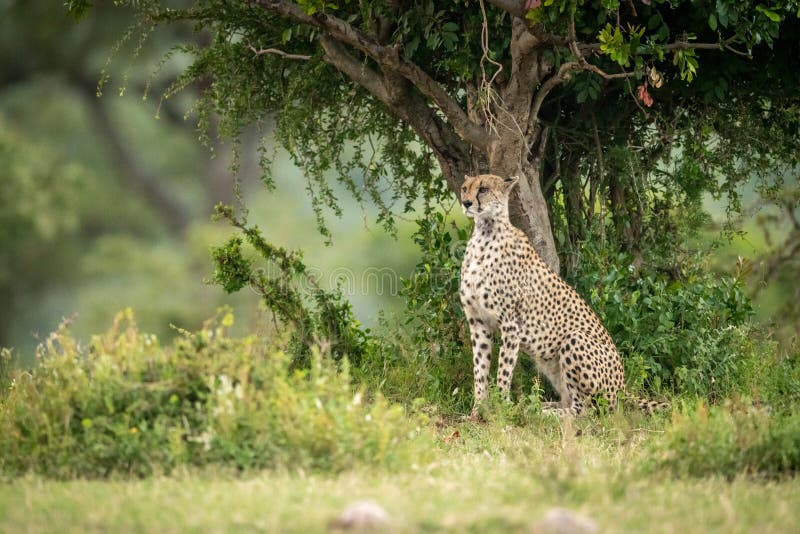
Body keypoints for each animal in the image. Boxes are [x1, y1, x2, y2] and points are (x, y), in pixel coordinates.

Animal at [459, 173, 666, 417]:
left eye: (483, 189)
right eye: (465, 188)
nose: (466, 203)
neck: (485, 232)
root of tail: (623, 386)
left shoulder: (511, 323)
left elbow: (504, 371)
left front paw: (501, 408)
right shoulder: (478, 322)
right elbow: (480, 370)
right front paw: (477, 410)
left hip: (575, 339)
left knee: (586, 410)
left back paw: (541, 412)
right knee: (571, 401)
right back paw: (539, 405)